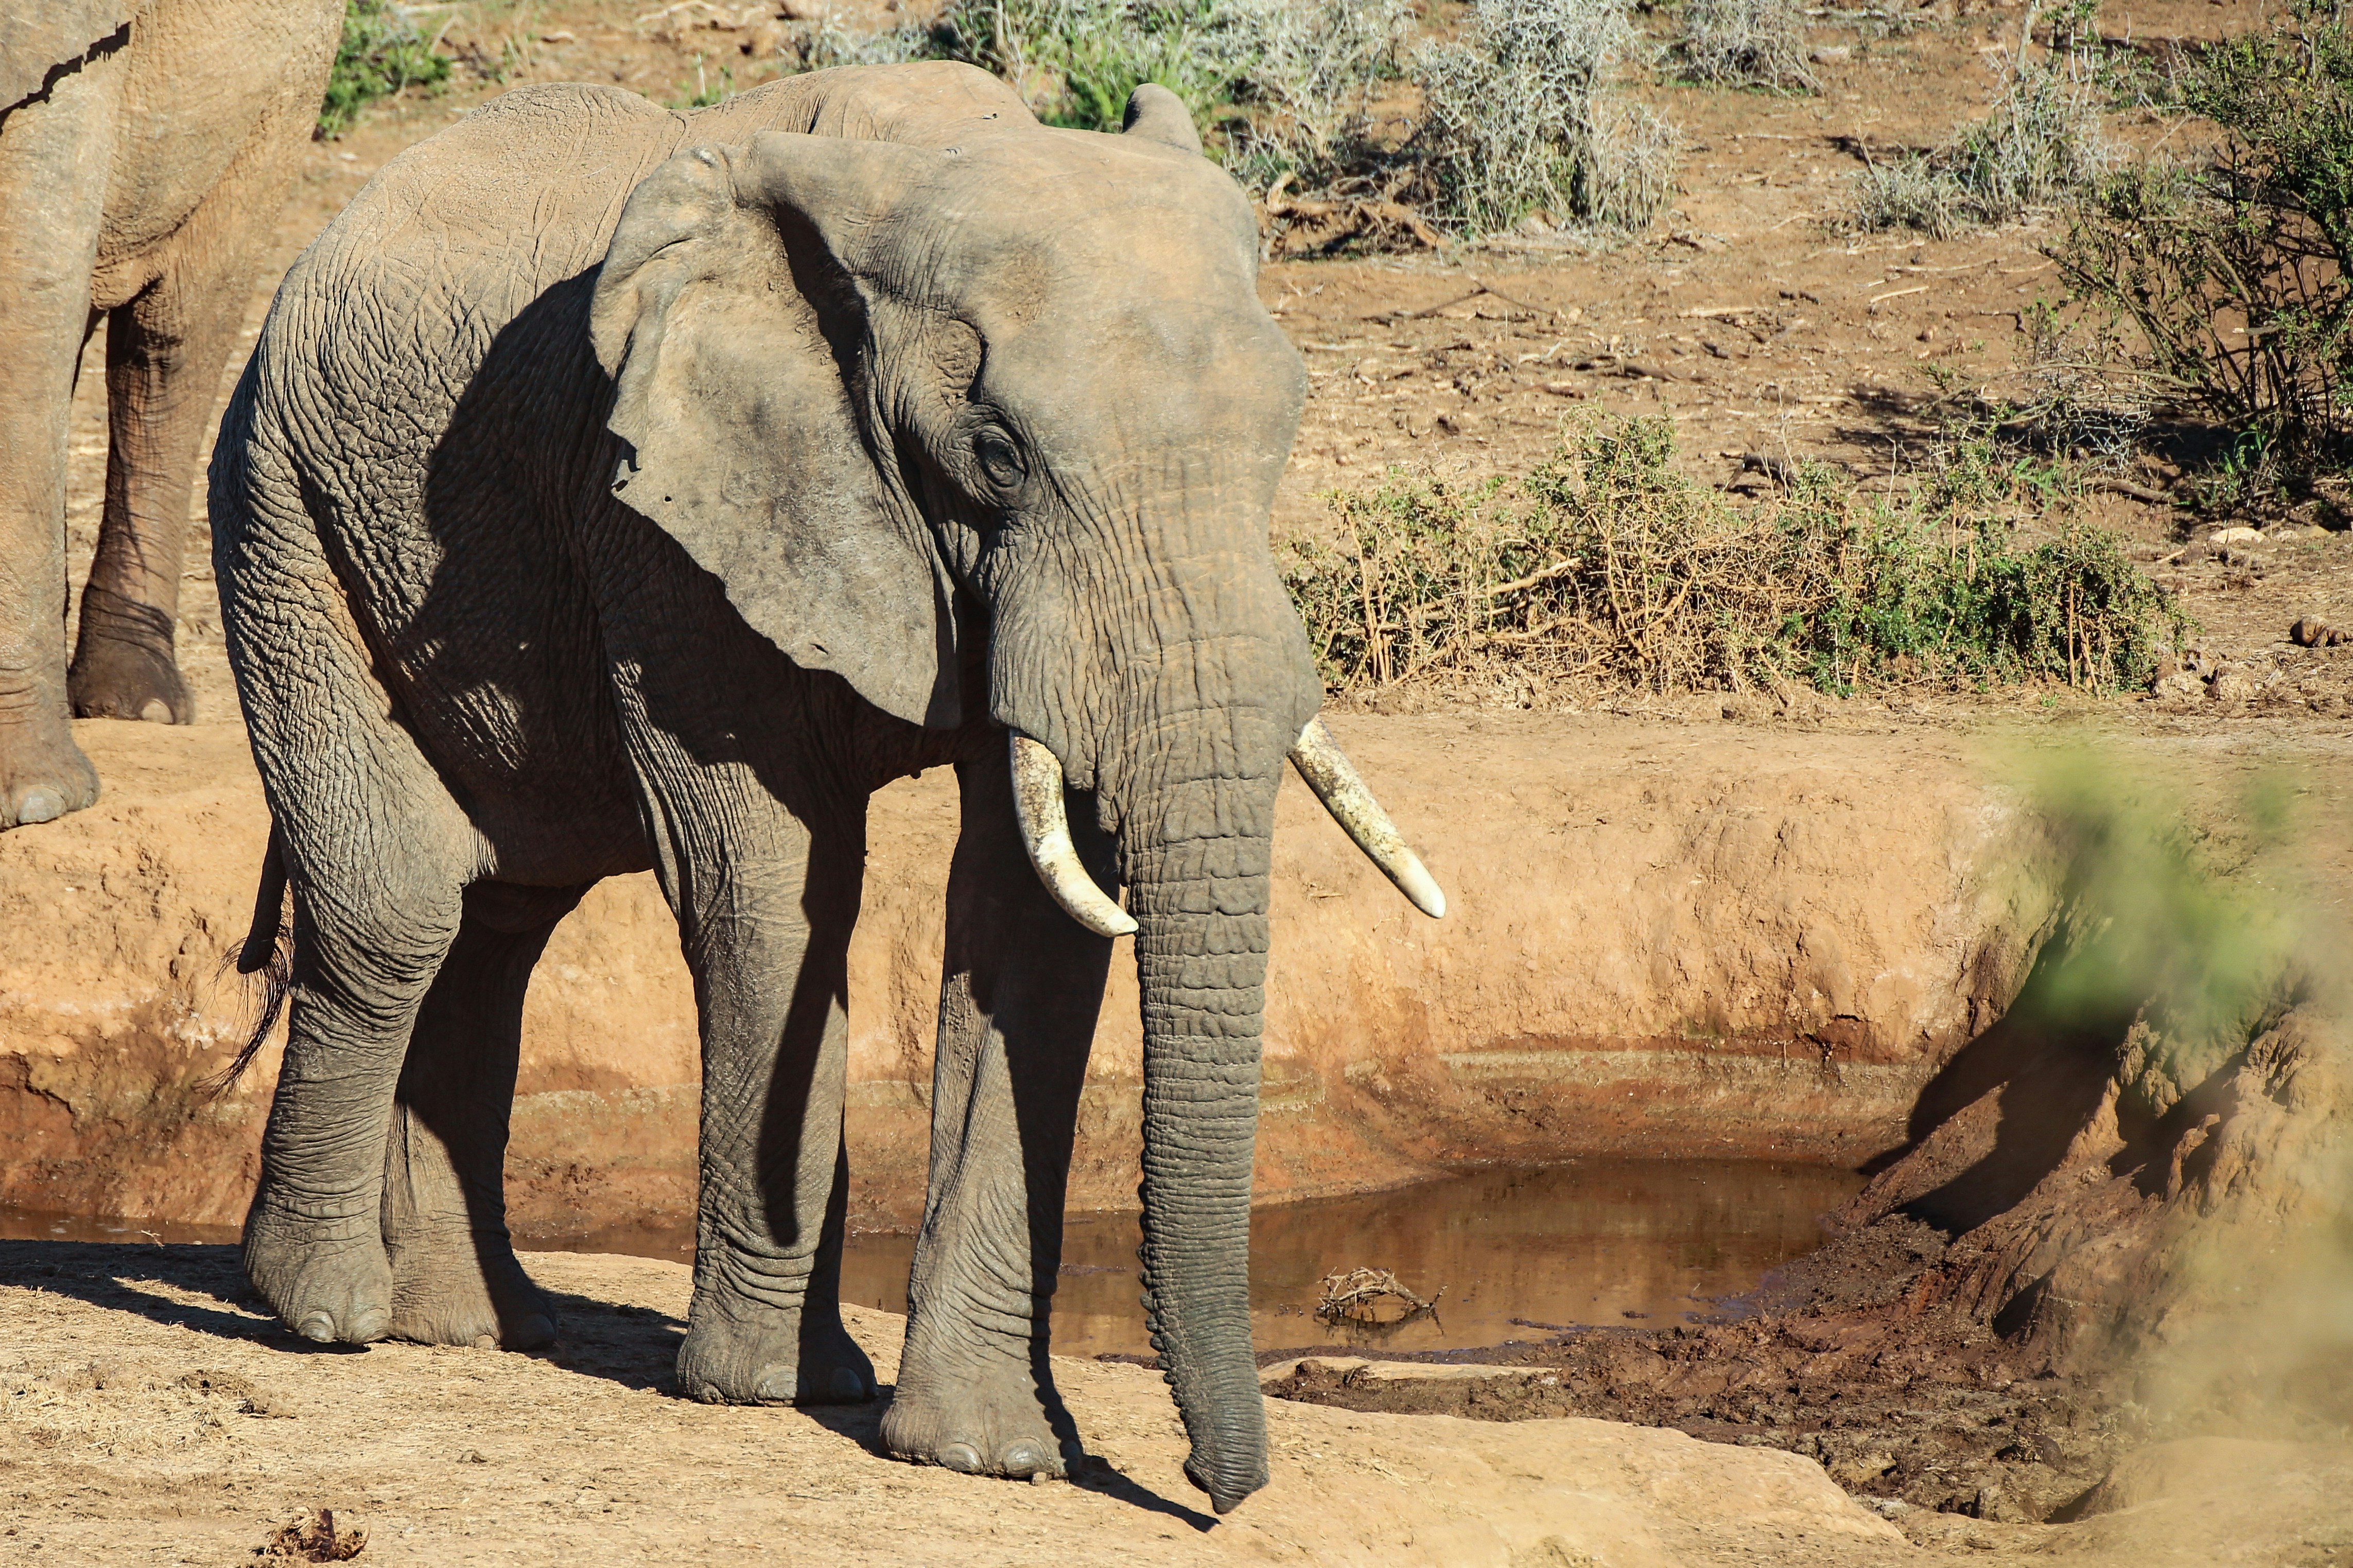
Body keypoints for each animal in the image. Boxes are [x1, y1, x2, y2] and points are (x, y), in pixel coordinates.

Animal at [206, 61, 1443, 1515]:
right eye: (998, 454)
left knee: (506, 910)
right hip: (278, 504)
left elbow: (1028, 922)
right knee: (399, 909)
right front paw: (773, 1389)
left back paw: (469, 1323)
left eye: (1285, 431)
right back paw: (322, 1306)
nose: (1213, 1487)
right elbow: (774, 893)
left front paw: (987, 1453)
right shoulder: (662, 508)